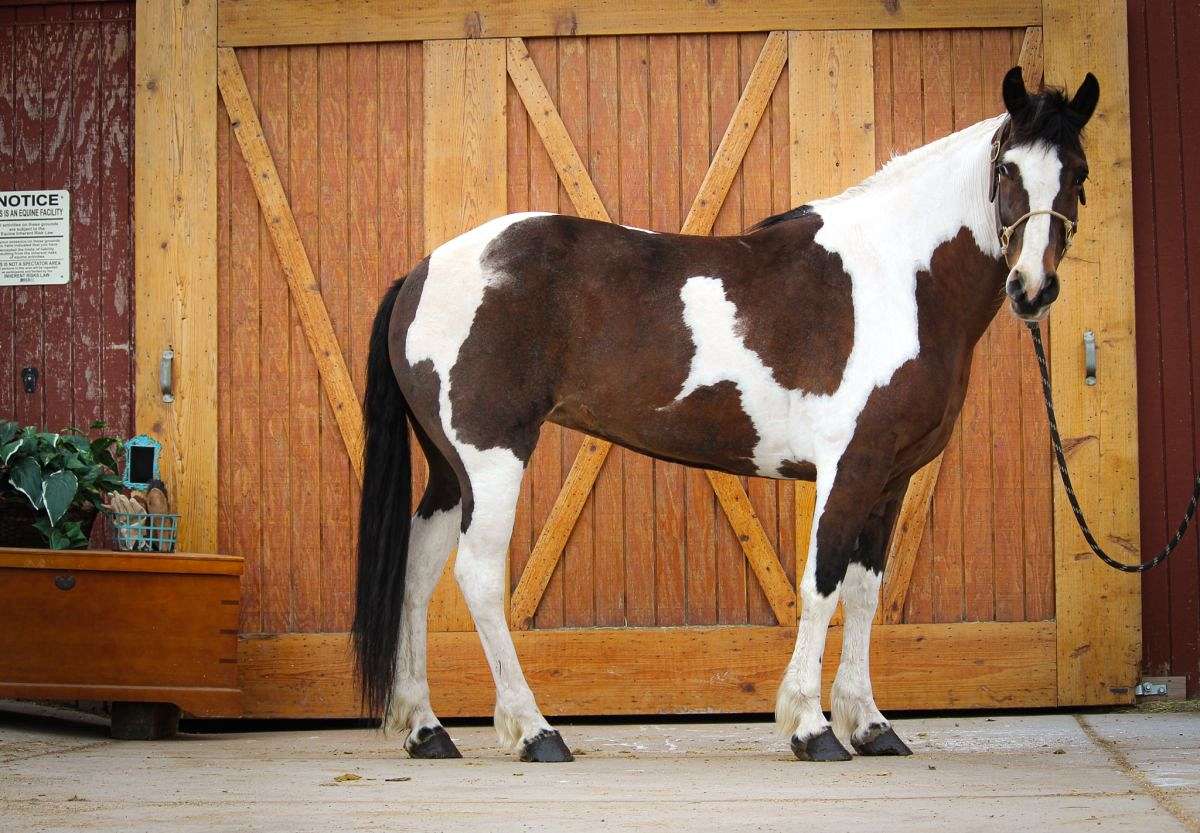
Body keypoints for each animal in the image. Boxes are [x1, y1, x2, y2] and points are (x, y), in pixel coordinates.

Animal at [352, 65, 1099, 764]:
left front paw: (870, 725)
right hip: (492, 457)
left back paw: (427, 729)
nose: (1033, 288)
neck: (898, 277)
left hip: (451, 471)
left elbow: (864, 592)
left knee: (416, 577)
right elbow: (822, 582)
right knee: (478, 579)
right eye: (1006, 169)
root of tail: (421, 271)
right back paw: (535, 731)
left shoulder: (890, 476)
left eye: (1079, 174)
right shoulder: (850, 465)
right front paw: (810, 728)